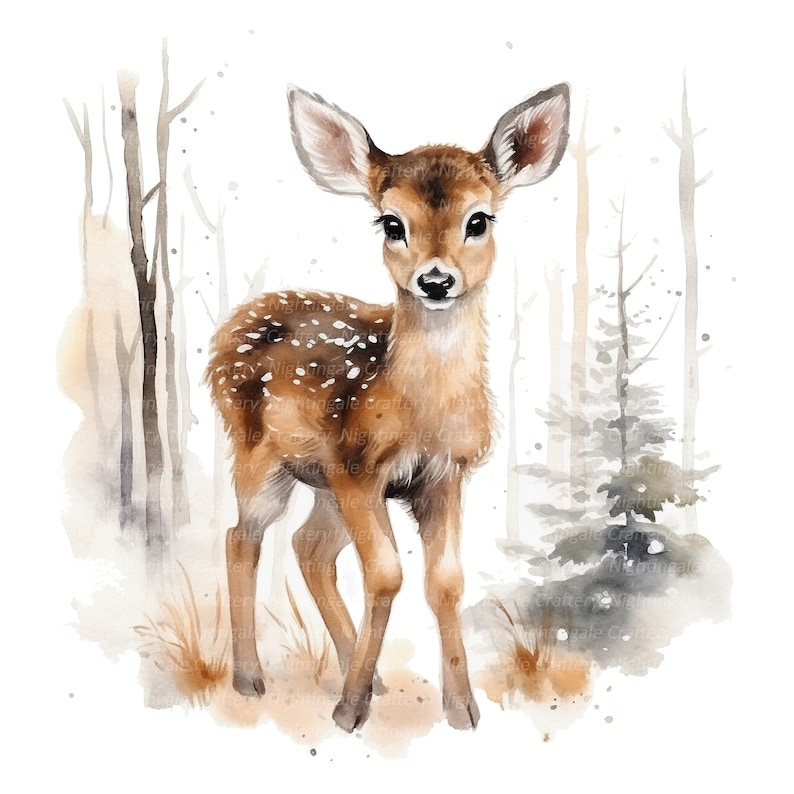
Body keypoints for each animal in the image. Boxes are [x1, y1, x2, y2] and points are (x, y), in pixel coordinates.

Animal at [206, 83, 570, 732]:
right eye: (391, 222)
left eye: (479, 219)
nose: (435, 280)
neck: (422, 413)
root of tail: (230, 327)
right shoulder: (359, 467)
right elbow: (386, 574)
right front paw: (349, 712)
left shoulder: (444, 473)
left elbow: (444, 582)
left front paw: (463, 709)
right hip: (260, 454)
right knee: (241, 537)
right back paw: (251, 678)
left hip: (320, 478)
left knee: (308, 549)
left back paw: (365, 674)